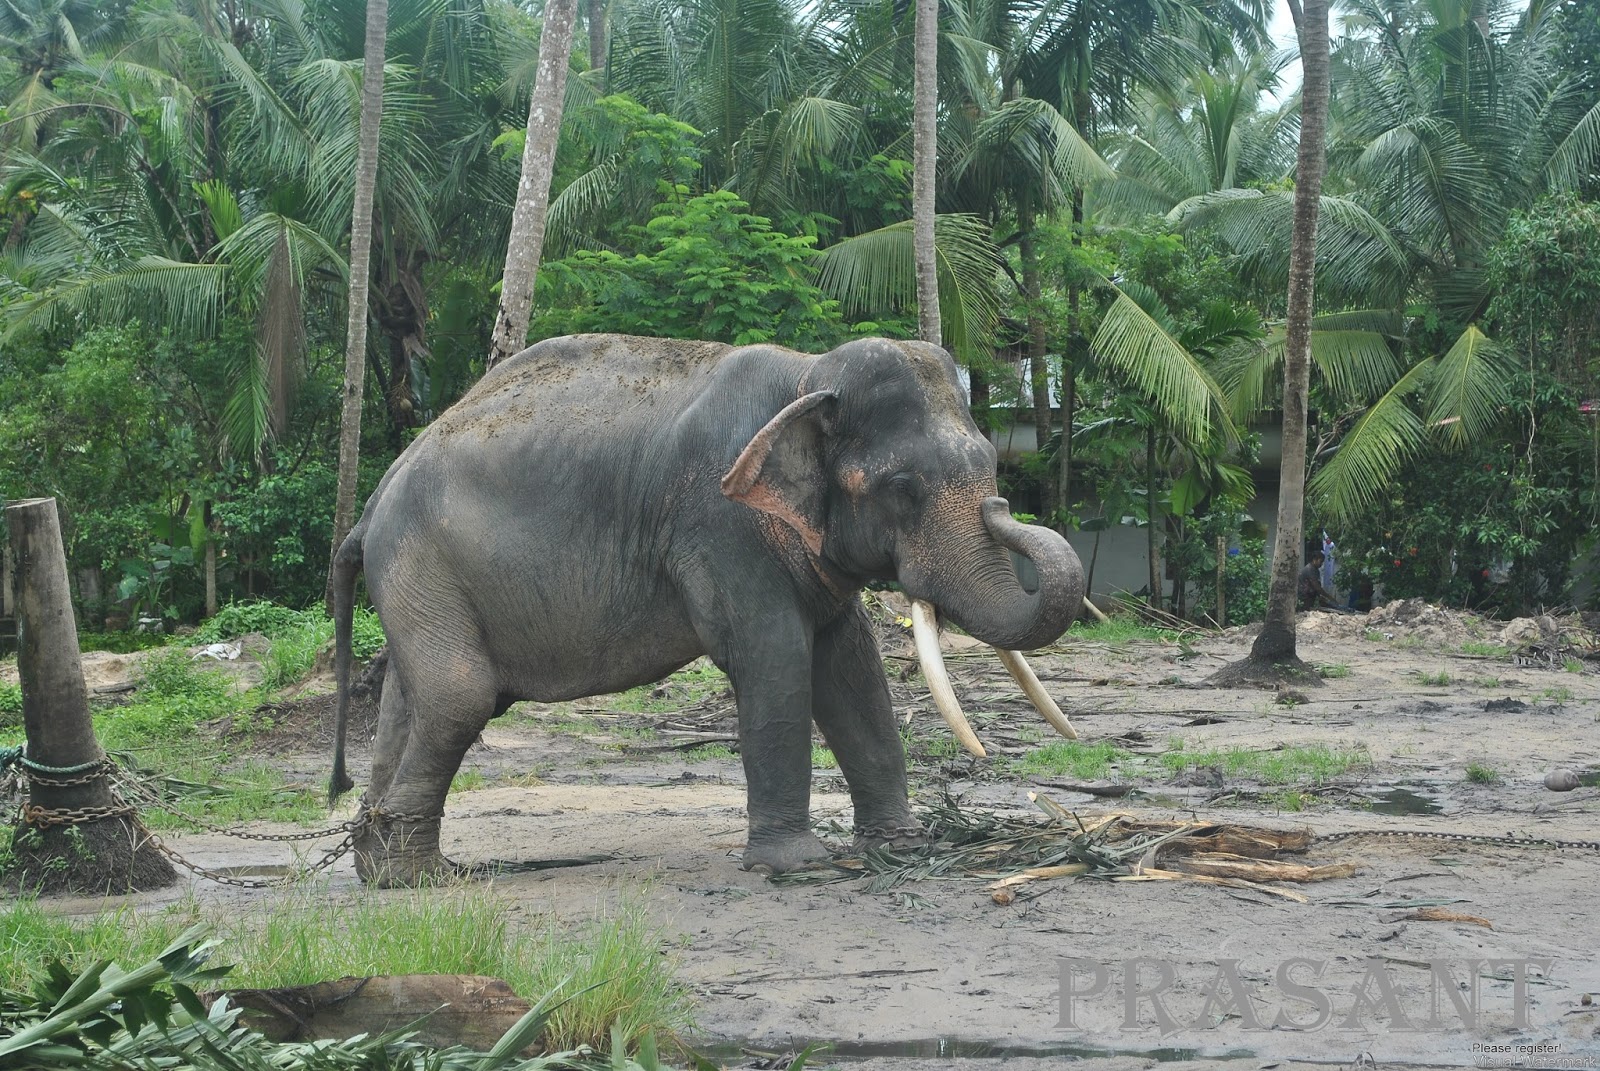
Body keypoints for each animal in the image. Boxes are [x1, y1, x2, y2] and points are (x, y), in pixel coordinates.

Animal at [329, 333, 1086, 886]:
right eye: (903, 487)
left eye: (991, 461)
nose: (1004, 507)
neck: (807, 376)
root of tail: (371, 505)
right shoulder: (719, 522)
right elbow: (776, 656)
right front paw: (796, 867)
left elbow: (850, 665)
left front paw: (900, 846)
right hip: (420, 560)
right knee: (460, 695)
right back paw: (420, 877)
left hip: (418, 577)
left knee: (412, 700)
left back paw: (379, 865)